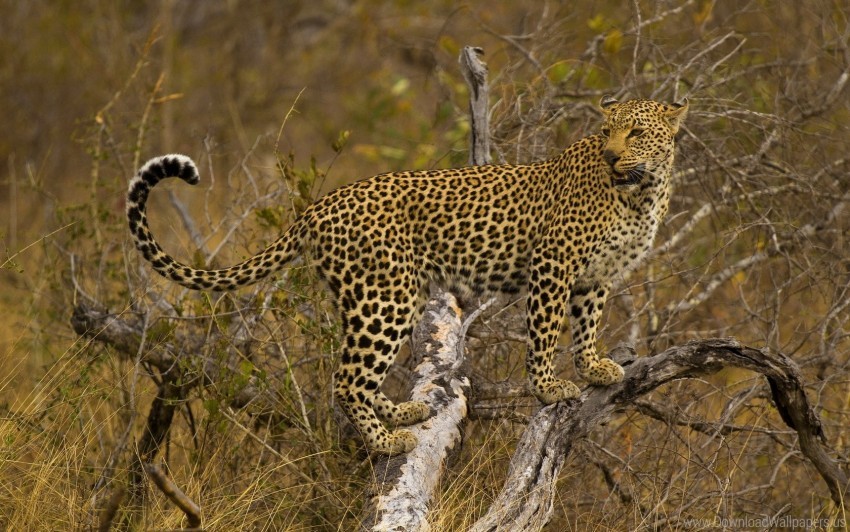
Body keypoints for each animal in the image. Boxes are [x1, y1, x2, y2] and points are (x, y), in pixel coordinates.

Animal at [126, 95, 688, 455]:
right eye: (607, 132)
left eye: (635, 132)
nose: (612, 155)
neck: (642, 190)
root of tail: (319, 207)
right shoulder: (554, 264)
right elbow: (547, 332)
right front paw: (550, 389)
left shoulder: (595, 275)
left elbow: (587, 324)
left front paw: (594, 367)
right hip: (386, 298)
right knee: (346, 379)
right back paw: (385, 441)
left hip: (379, 297)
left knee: (359, 372)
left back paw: (399, 416)